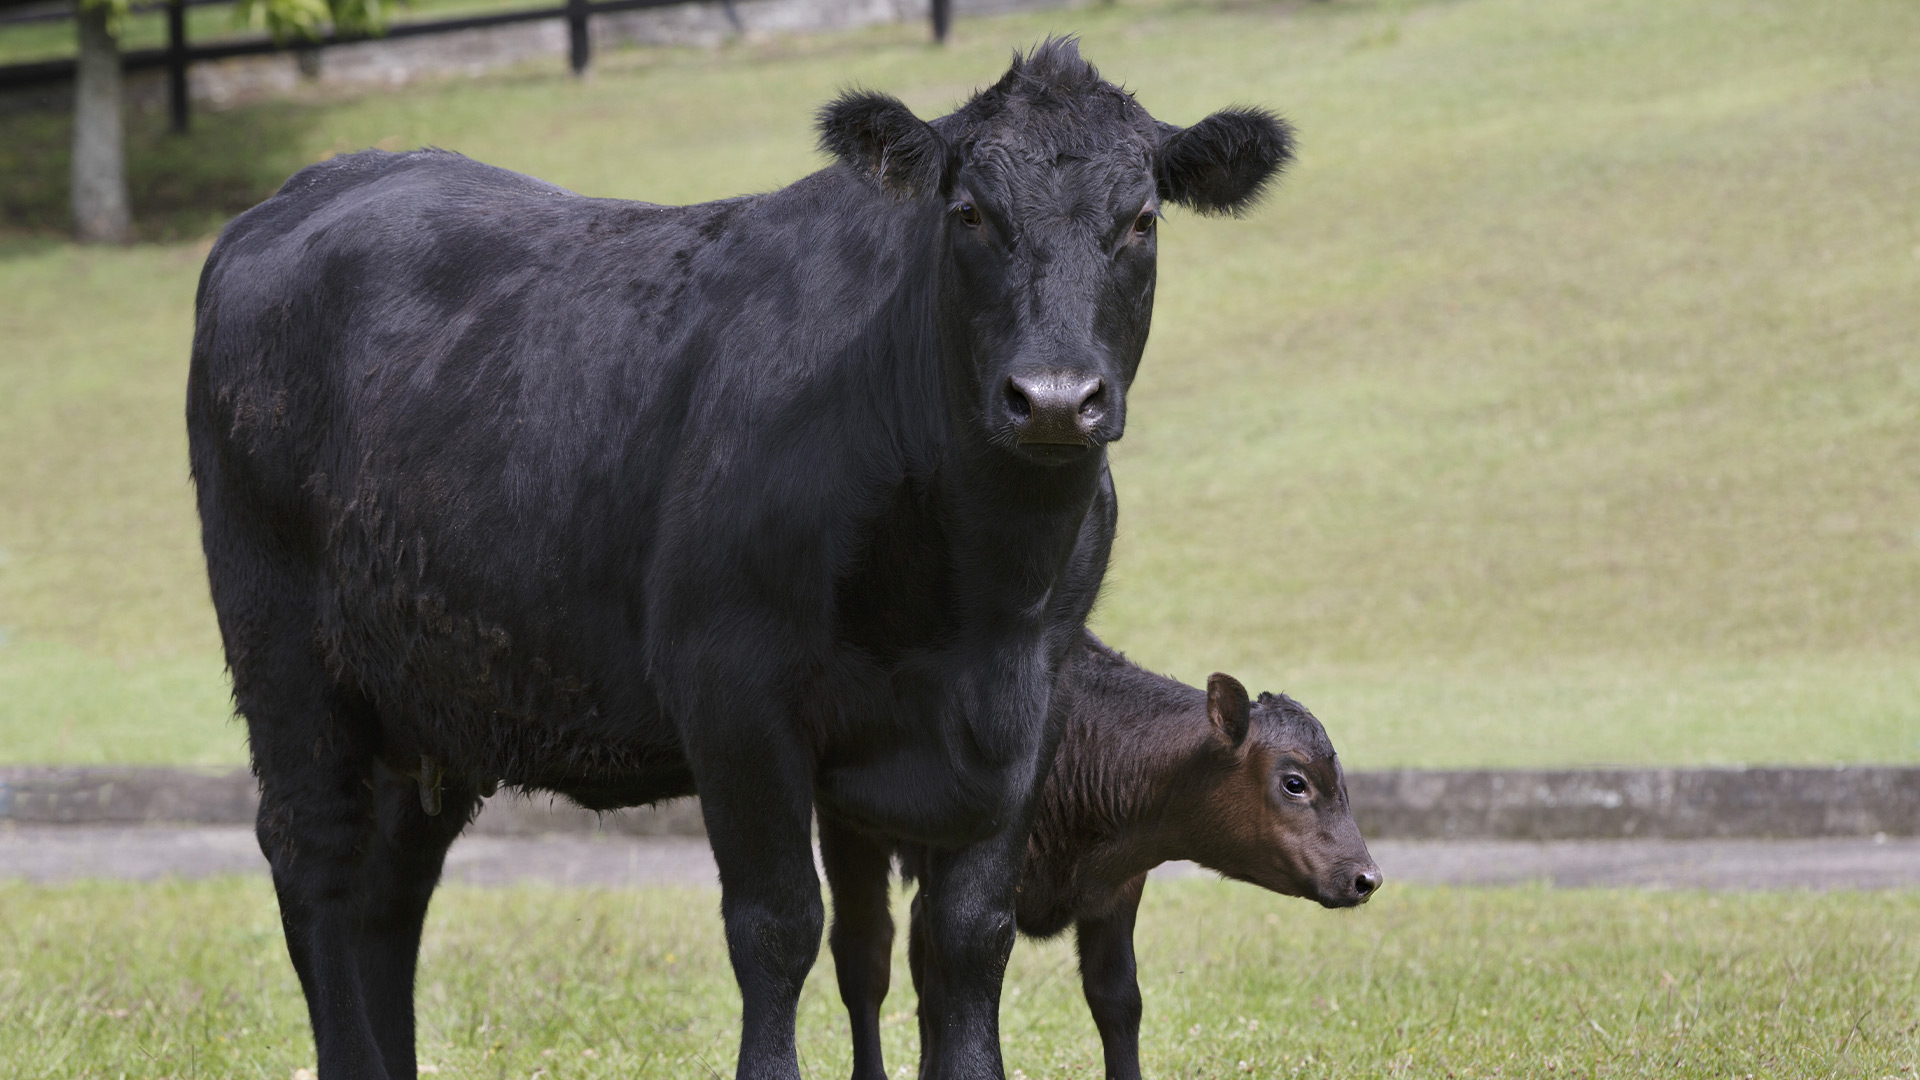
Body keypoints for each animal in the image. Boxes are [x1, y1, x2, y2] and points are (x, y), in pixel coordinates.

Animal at [186, 39, 1293, 1080]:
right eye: (971, 213)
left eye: (1141, 221)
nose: (1057, 398)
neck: (975, 586)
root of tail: (313, 187)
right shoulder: (734, 691)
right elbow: (779, 925)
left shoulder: (1031, 704)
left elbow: (970, 939)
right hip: (283, 655)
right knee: (316, 859)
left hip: (430, 691)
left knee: (392, 887)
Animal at [820, 632, 1380, 1080]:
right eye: (1294, 782)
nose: (1367, 877)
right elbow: (949, 987)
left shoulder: (1119, 886)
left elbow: (1116, 999)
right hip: (846, 827)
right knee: (865, 956)